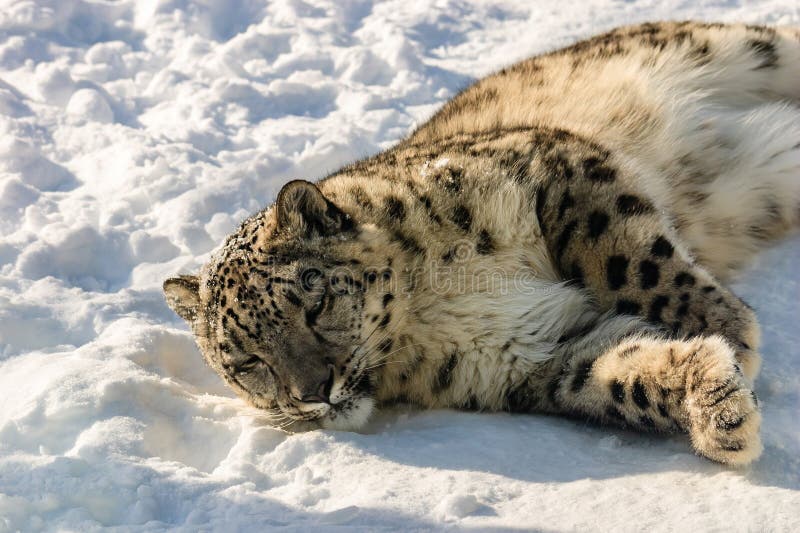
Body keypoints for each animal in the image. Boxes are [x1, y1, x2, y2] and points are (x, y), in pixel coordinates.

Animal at [164, 22, 800, 466]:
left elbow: (627, 261)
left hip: (748, 47)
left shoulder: (551, 167)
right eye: (247, 361)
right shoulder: (536, 353)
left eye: (315, 305)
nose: (315, 392)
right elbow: (623, 374)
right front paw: (718, 408)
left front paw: (732, 332)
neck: (427, 312)